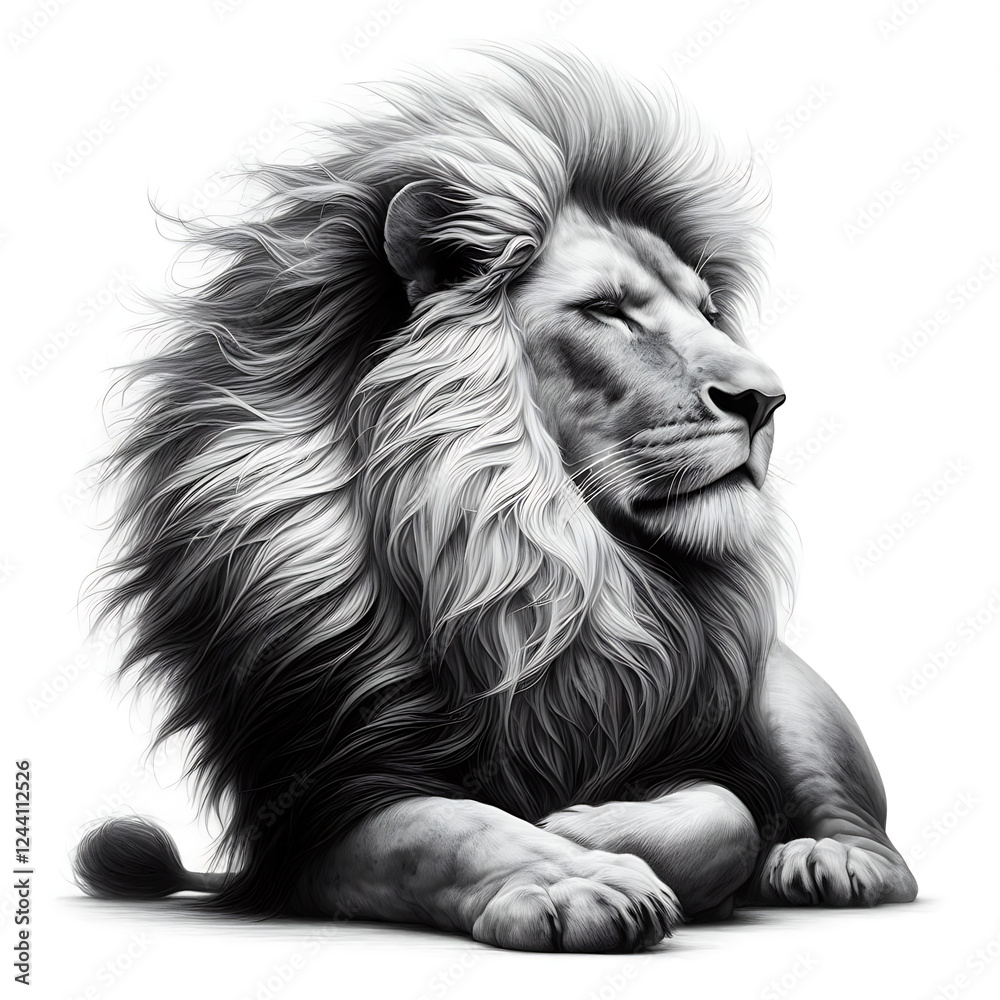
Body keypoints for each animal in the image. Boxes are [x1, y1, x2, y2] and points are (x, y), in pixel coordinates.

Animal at [73, 44, 917, 952]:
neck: (521, 559)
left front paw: (584, 829)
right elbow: (451, 829)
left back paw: (828, 861)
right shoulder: (320, 810)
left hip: (788, 695)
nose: (767, 399)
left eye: (707, 311)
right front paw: (576, 882)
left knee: (873, 845)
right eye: (607, 311)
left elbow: (724, 814)